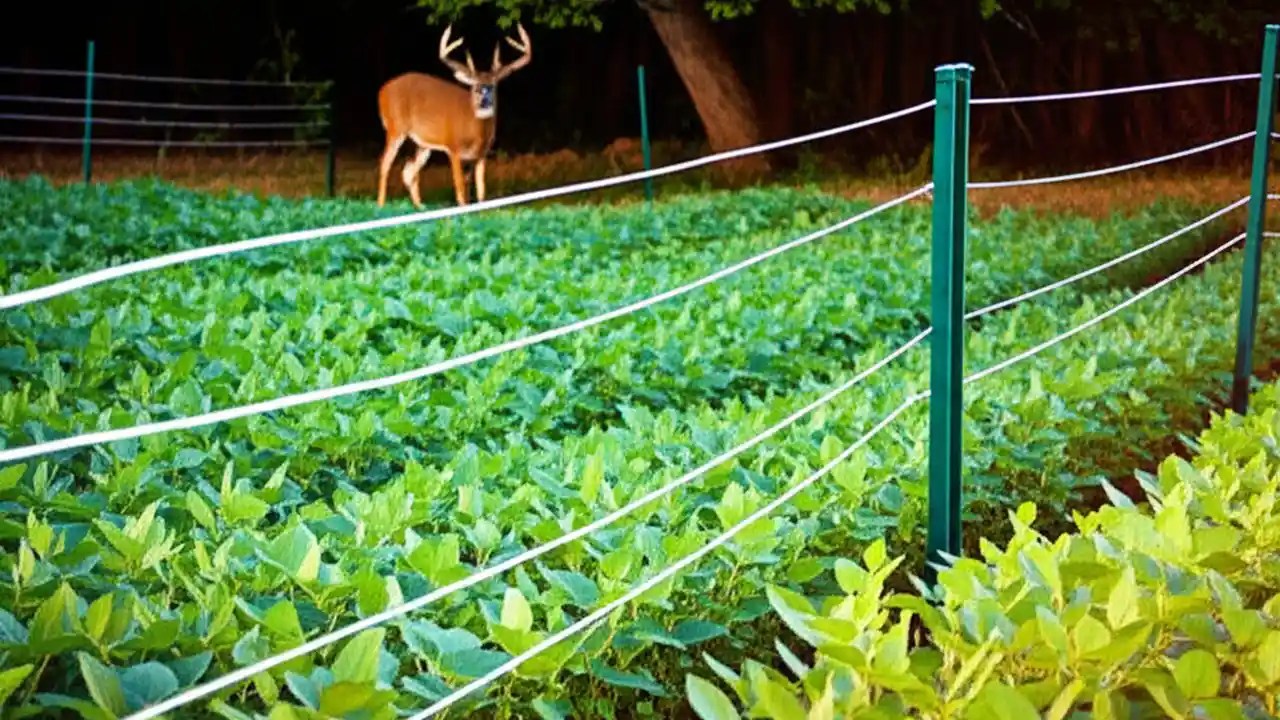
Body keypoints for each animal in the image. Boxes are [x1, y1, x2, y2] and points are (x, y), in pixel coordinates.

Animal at [376, 23, 532, 208]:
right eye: (475, 86)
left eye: (493, 85)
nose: (484, 100)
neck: (476, 132)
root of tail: (382, 91)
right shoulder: (454, 147)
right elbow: (460, 189)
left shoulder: (481, 155)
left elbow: (481, 192)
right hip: (396, 127)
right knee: (385, 163)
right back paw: (380, 205)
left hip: (423, 144)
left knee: (408, 171)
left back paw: (420, 207)